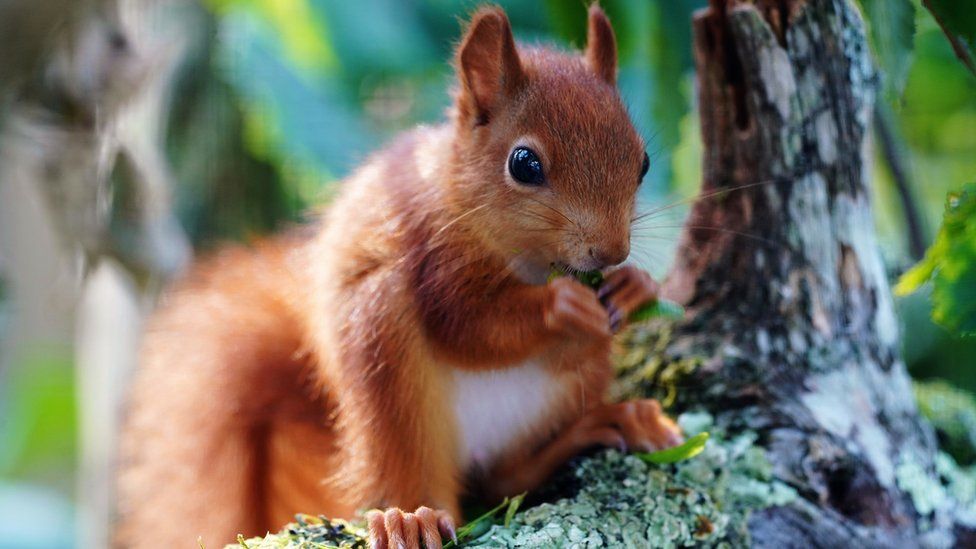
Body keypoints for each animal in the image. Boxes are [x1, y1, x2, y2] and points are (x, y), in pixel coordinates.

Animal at [115, 5, 683, 549]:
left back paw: (601, 425)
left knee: (506, 478)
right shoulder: (428, 251)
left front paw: (636, 287)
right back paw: (410, 517)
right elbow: (469, 327)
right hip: (384, 360)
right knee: (415, 474)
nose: (611, 252)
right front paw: (560, 306)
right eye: (524, 163)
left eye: (643, 161)